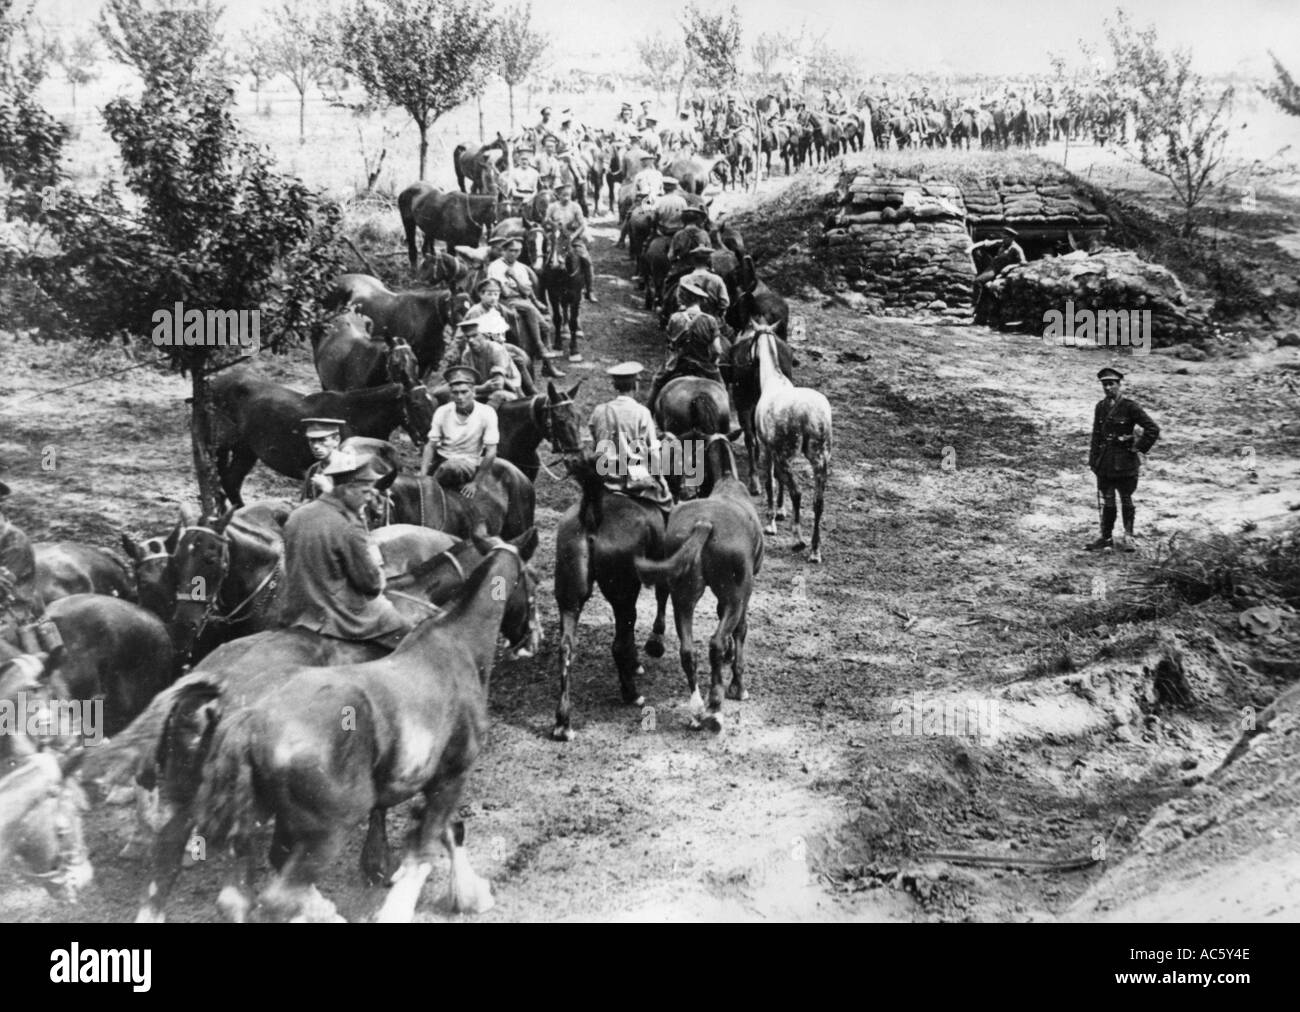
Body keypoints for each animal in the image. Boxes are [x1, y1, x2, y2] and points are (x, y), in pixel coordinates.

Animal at [209, 365, 435, 508]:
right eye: (415, 405)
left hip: (245, 451)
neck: (356, 416)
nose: (428, 437)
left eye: (433, 403)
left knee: (230, 481)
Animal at [551, 453, 671, 742]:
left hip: (570, 595)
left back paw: (563, 721)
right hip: (623, 594)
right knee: (618, 641)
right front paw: (654, 644)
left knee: (566, 647)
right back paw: (631, 693)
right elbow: (662, 596)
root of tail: (592, 515)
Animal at [634, 432, 762, 731]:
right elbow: (740, 630)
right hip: (735, 594)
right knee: (715, 642)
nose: (689, 490)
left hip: (684, 595)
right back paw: (714, 708)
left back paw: (696, 710)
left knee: (688, 651)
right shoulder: (743, 592)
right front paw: (738, 685)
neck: (728, 481)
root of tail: (704, 524)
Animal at [753, 326, 832, 563]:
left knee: (797, 493)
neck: (773, 380)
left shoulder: (768, 449)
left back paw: (798, 540)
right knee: (818, 502)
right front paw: (779, 512)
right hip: (820, 459)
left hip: (786, 455)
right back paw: (815, 551)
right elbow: (779, 481)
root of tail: (809, 414)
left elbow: (770, 482)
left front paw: (771, 521)